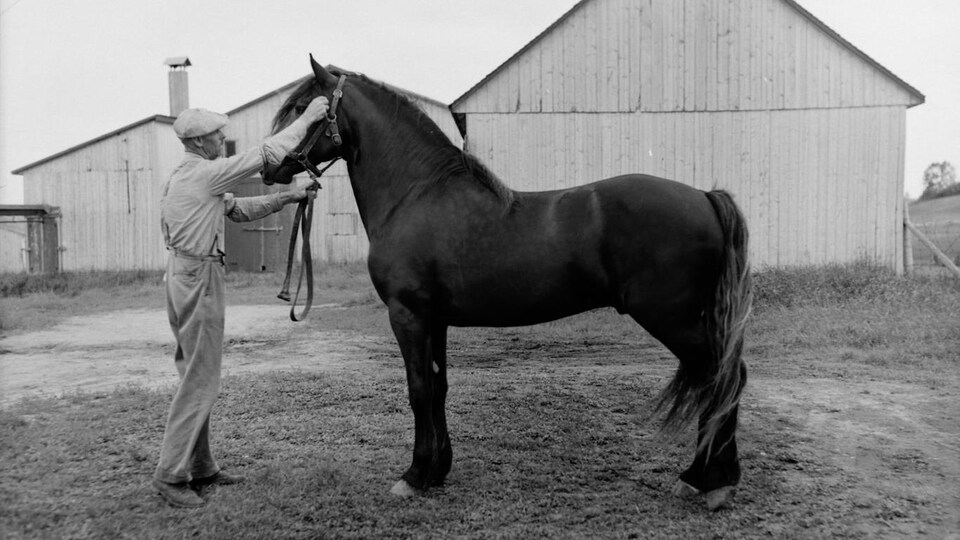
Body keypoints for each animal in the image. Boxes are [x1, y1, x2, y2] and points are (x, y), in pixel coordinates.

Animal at [263, 56, 752, 511]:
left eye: (303, 109)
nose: (268, 167)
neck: (416, 195)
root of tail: (705, 197)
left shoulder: (408, 316)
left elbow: (418, 390)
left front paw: (414, 475)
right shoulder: (435, 320)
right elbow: (438, 389)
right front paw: (438, 470)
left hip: (672, 318)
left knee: (722, 376)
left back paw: (711, 482)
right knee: (724, 377)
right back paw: (706, 476)